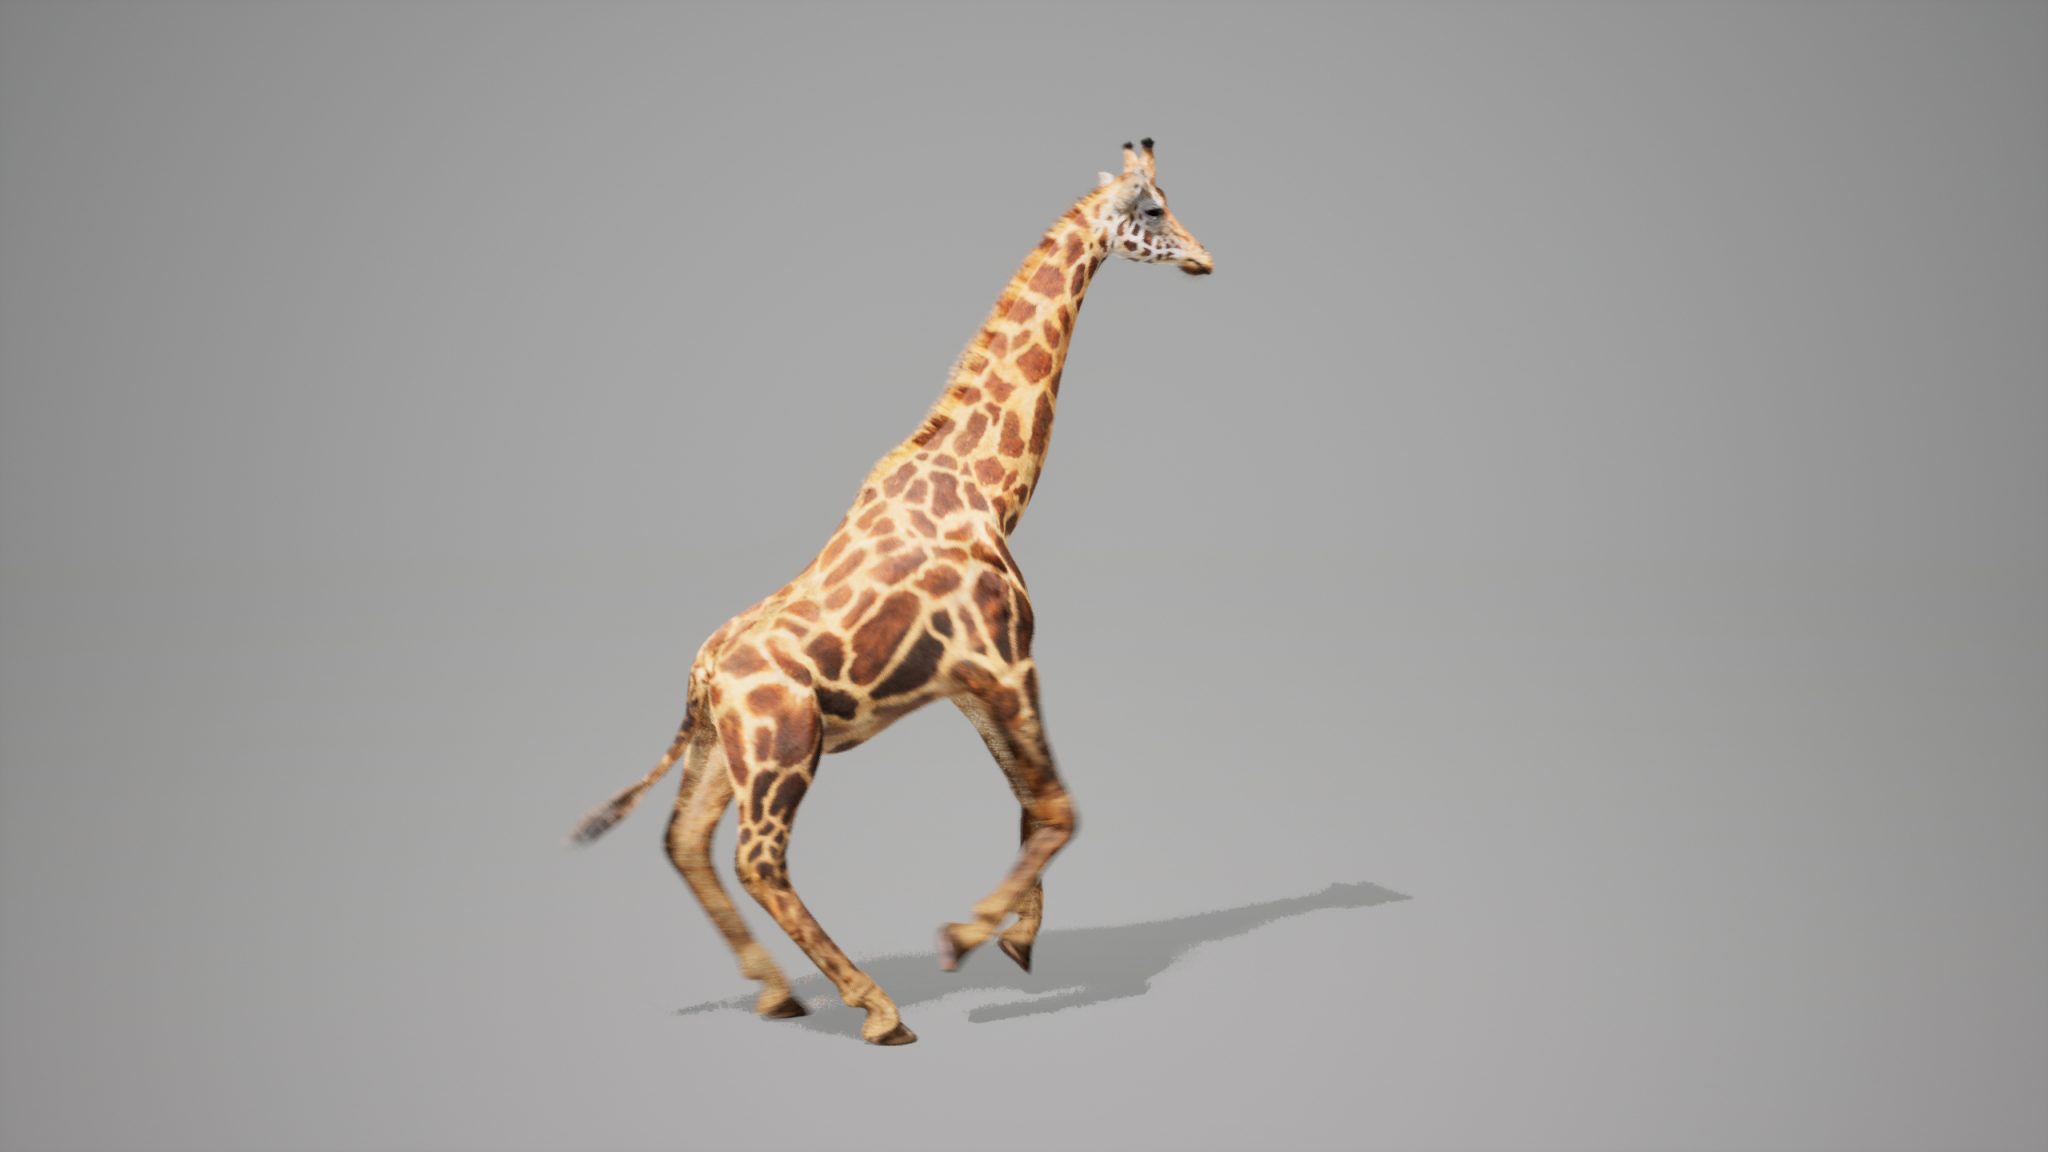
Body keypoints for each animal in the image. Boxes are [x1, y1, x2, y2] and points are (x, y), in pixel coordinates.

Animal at [572, 139, 1212, 1046]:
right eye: (1154, 209)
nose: (1205, 257)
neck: (988, 488)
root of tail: (701, 675)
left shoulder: (973, 682)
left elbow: (1031, 805)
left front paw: (1014, 935)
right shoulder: (1007, 659)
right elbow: (1060, 809)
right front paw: (965, 935)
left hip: (720, 752)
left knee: (684, 841)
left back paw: (779, 992)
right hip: (783, 750)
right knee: (756, 858)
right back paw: (877, 1007)